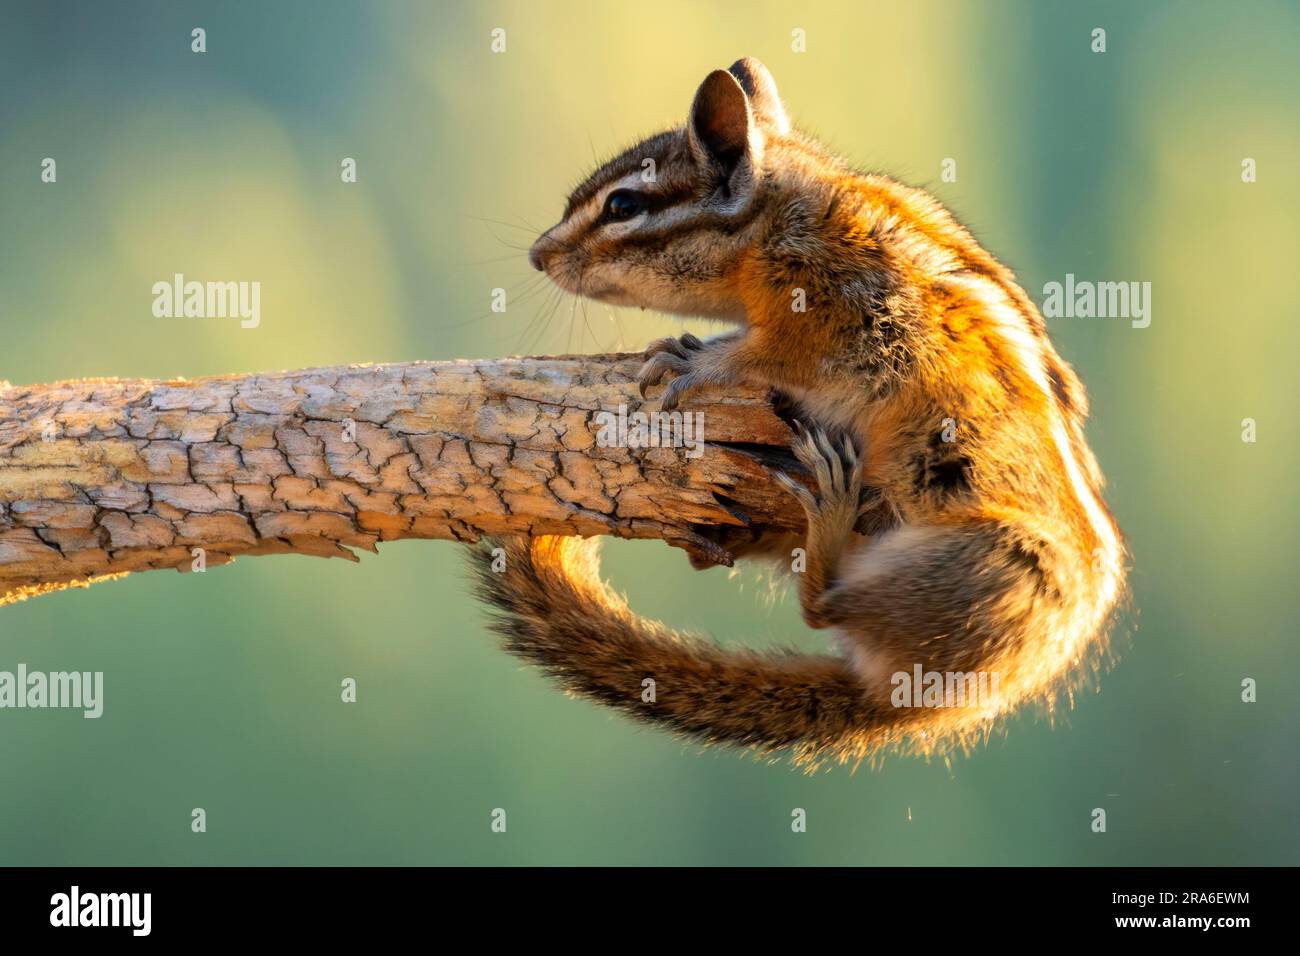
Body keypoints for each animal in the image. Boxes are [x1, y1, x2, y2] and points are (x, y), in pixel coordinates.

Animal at [473, 58, 1127, 766]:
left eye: (622, 205)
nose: (538, 255)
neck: (773, 220)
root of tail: (925, 703)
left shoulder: (821, 317)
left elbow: (765, 356)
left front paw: (697, 361)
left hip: (986, 567)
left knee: (822, 607)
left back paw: (832, 510)